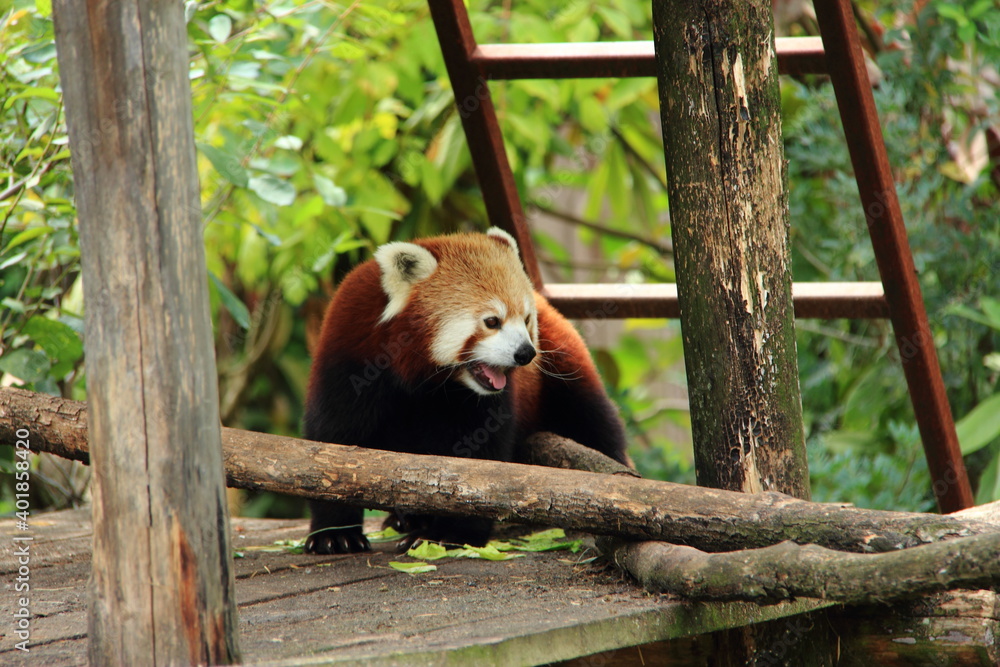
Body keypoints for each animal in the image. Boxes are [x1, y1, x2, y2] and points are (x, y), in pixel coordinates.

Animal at [303, 227, 629, 554]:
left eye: (525, 319)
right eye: (492, 321)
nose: (526, 354)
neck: (421, 377)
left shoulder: (481, 403)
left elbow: (477, 464)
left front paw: (450, 533)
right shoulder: (350, 354)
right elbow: (334, 444)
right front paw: (335, 533)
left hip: (563, 370)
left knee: (594, 424)